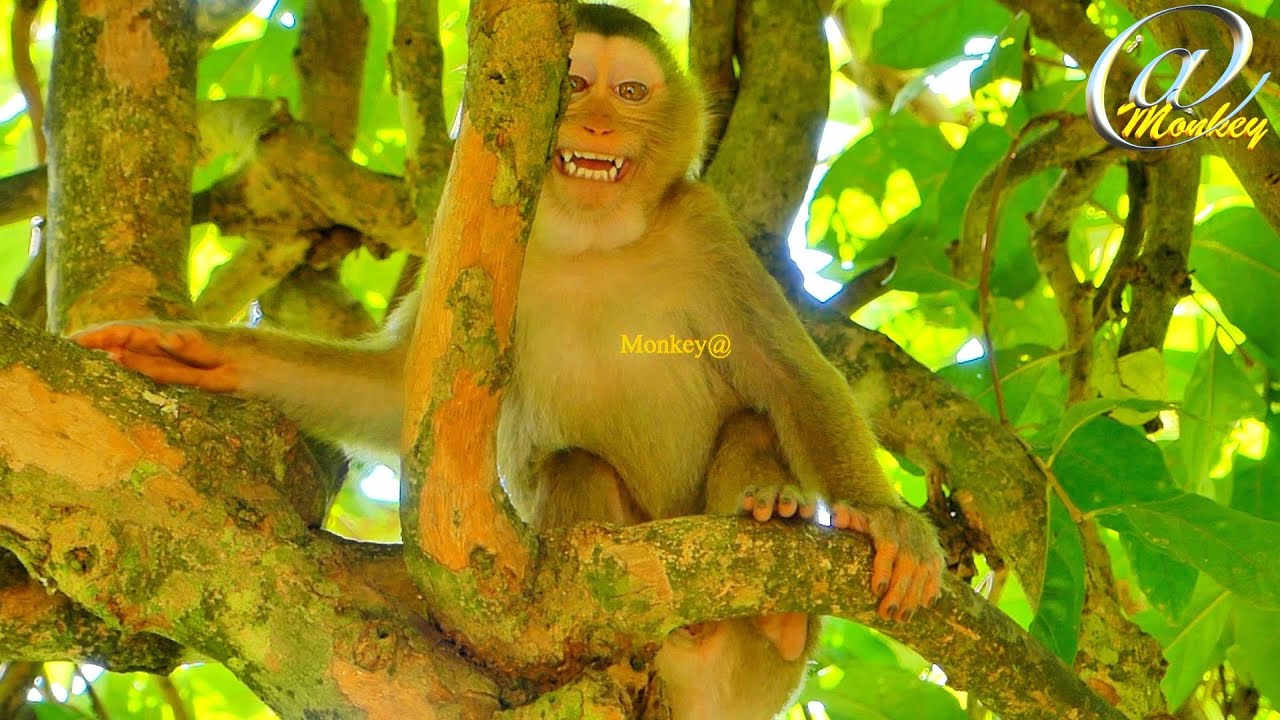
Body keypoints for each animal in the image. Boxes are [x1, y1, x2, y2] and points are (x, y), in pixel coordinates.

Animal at [74, 4, 944, 718]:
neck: (591, 246)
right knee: (573, 468)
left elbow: (792, 378)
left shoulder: (706, 227)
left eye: (629, 91)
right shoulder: (449, 235)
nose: (599, 126)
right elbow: (396, 395)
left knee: (751, 424)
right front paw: (194, 353)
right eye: (575, 83)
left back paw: (774, 550)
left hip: (765, 673)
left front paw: (886, 518)